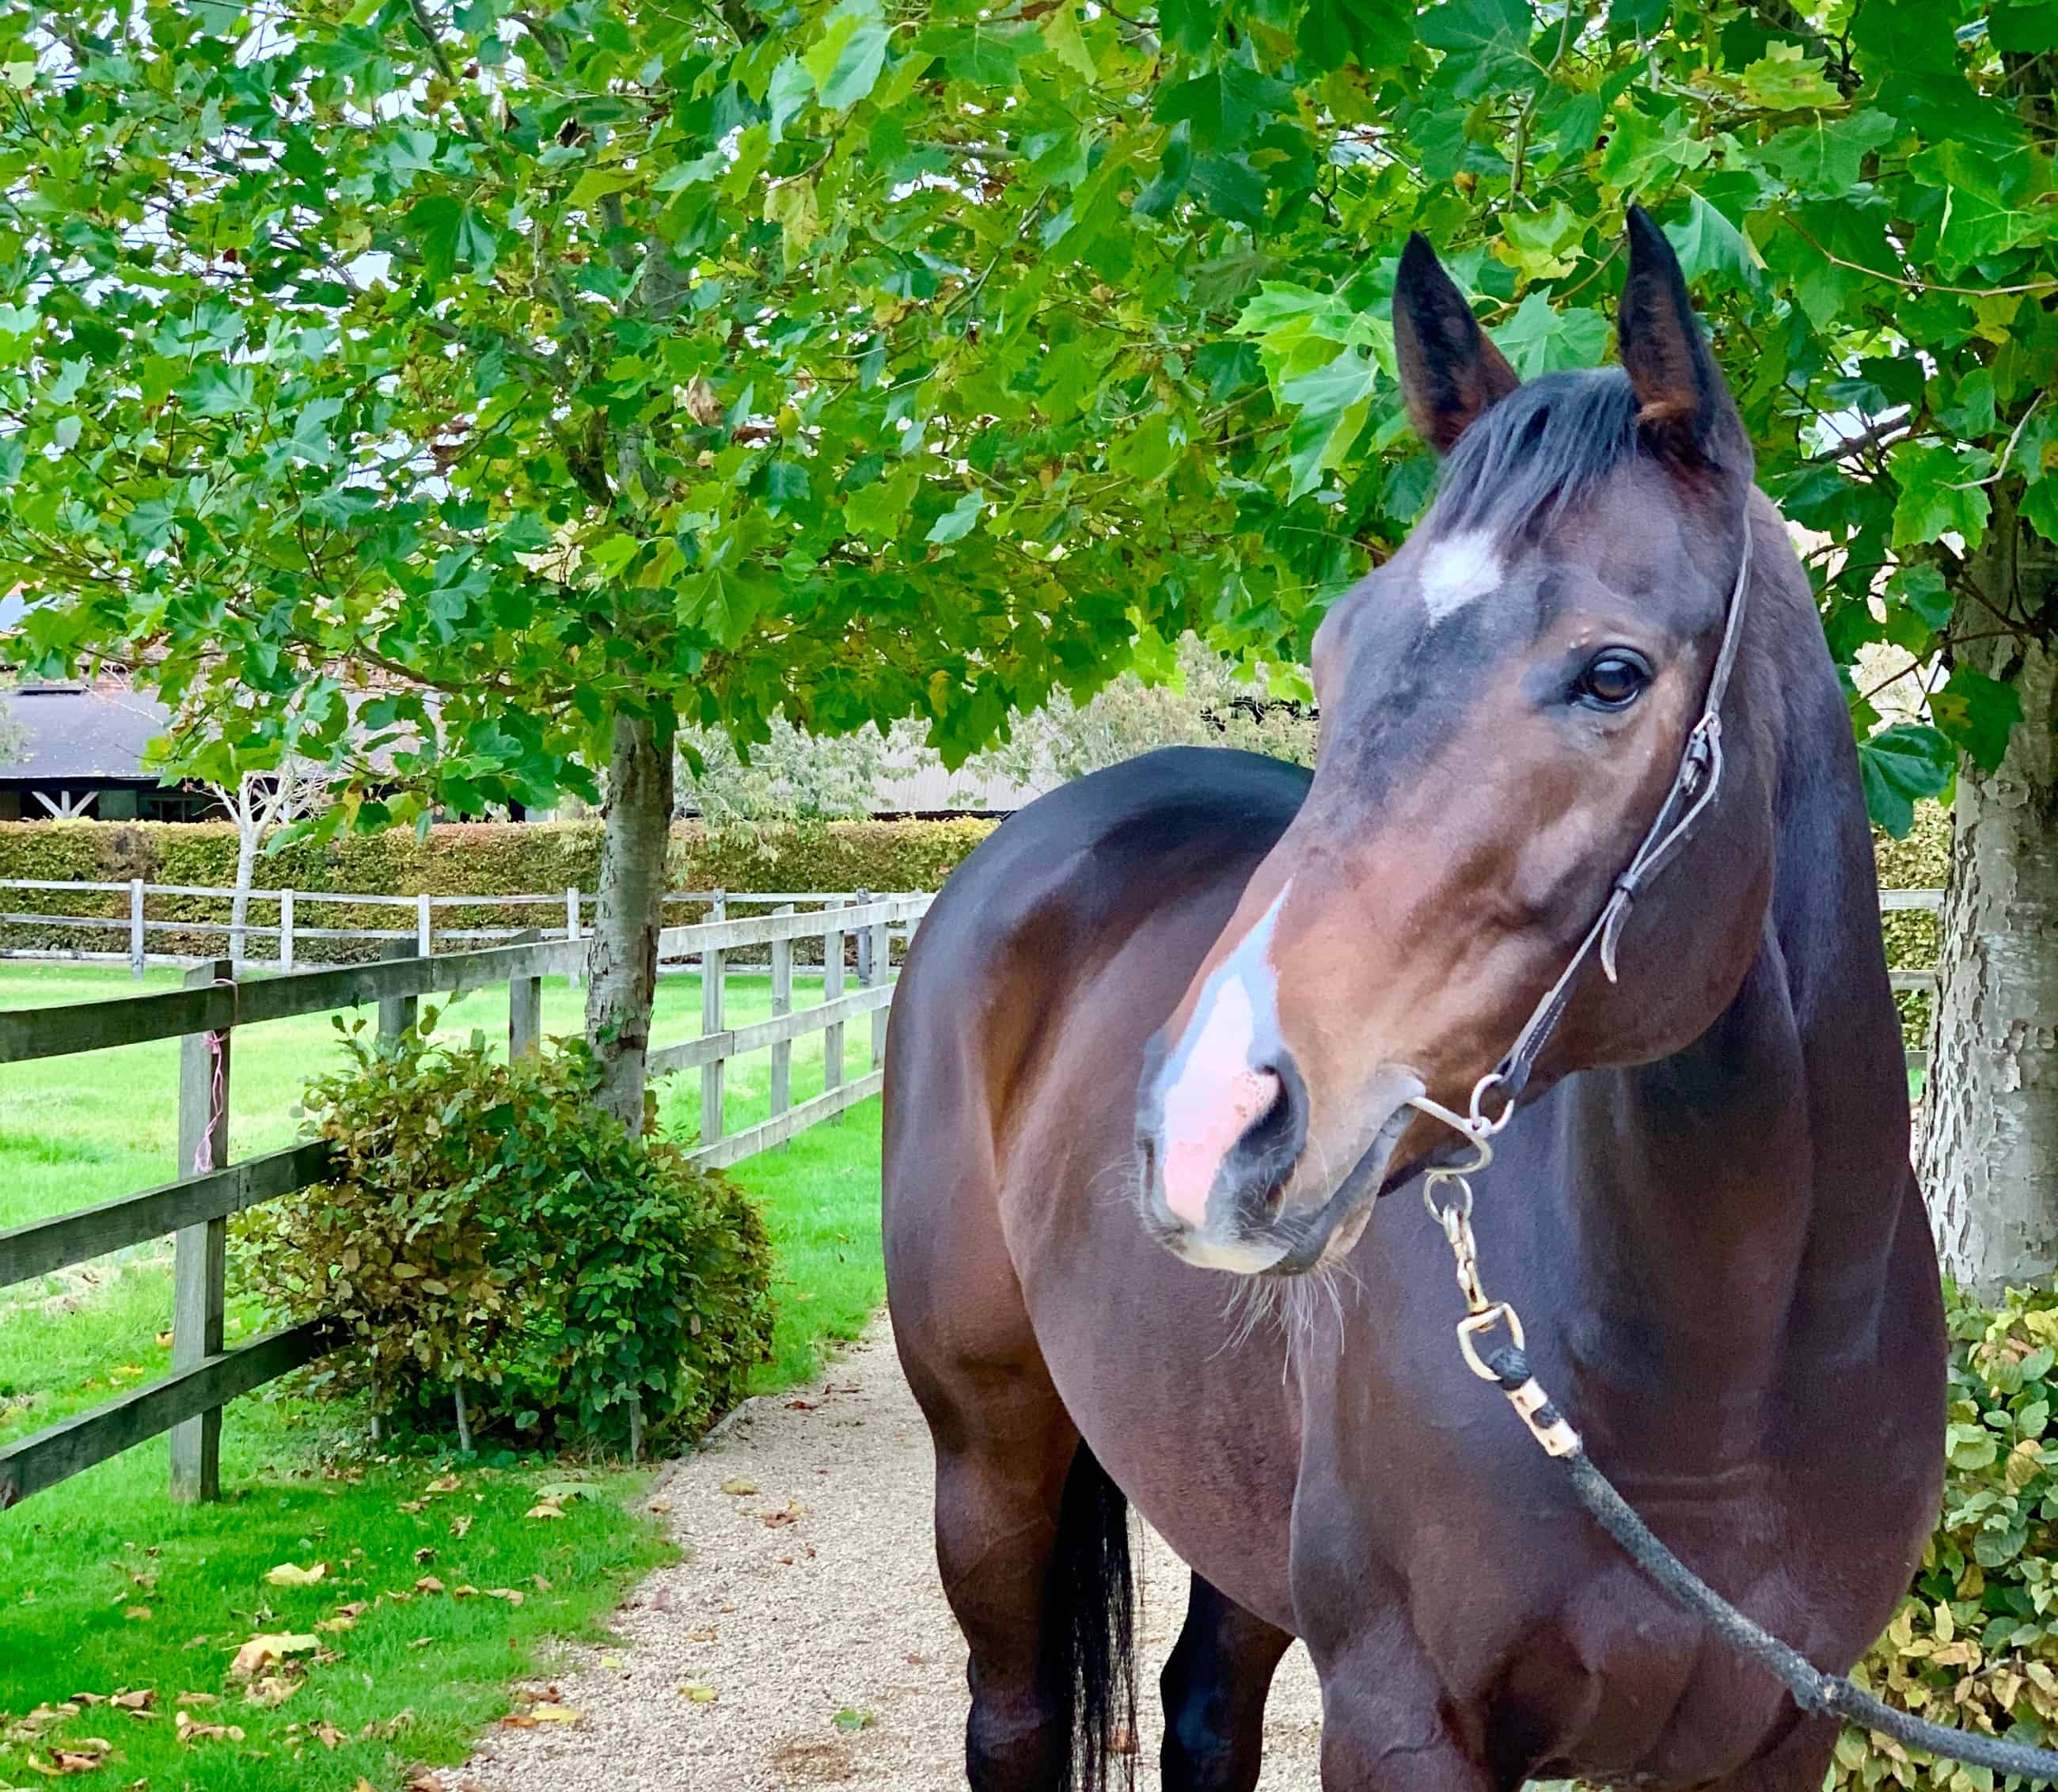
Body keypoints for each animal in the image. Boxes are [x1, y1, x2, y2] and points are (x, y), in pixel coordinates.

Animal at [881, 208, 1944, 1792]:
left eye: (1611, 673)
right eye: (1335, 650)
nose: (1207, 1126)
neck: (1727, 1377)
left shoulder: (1783, 1729)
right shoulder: (1401, 1719)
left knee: (1206, 1706)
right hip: (990, 1458)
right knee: (1010, 1720)